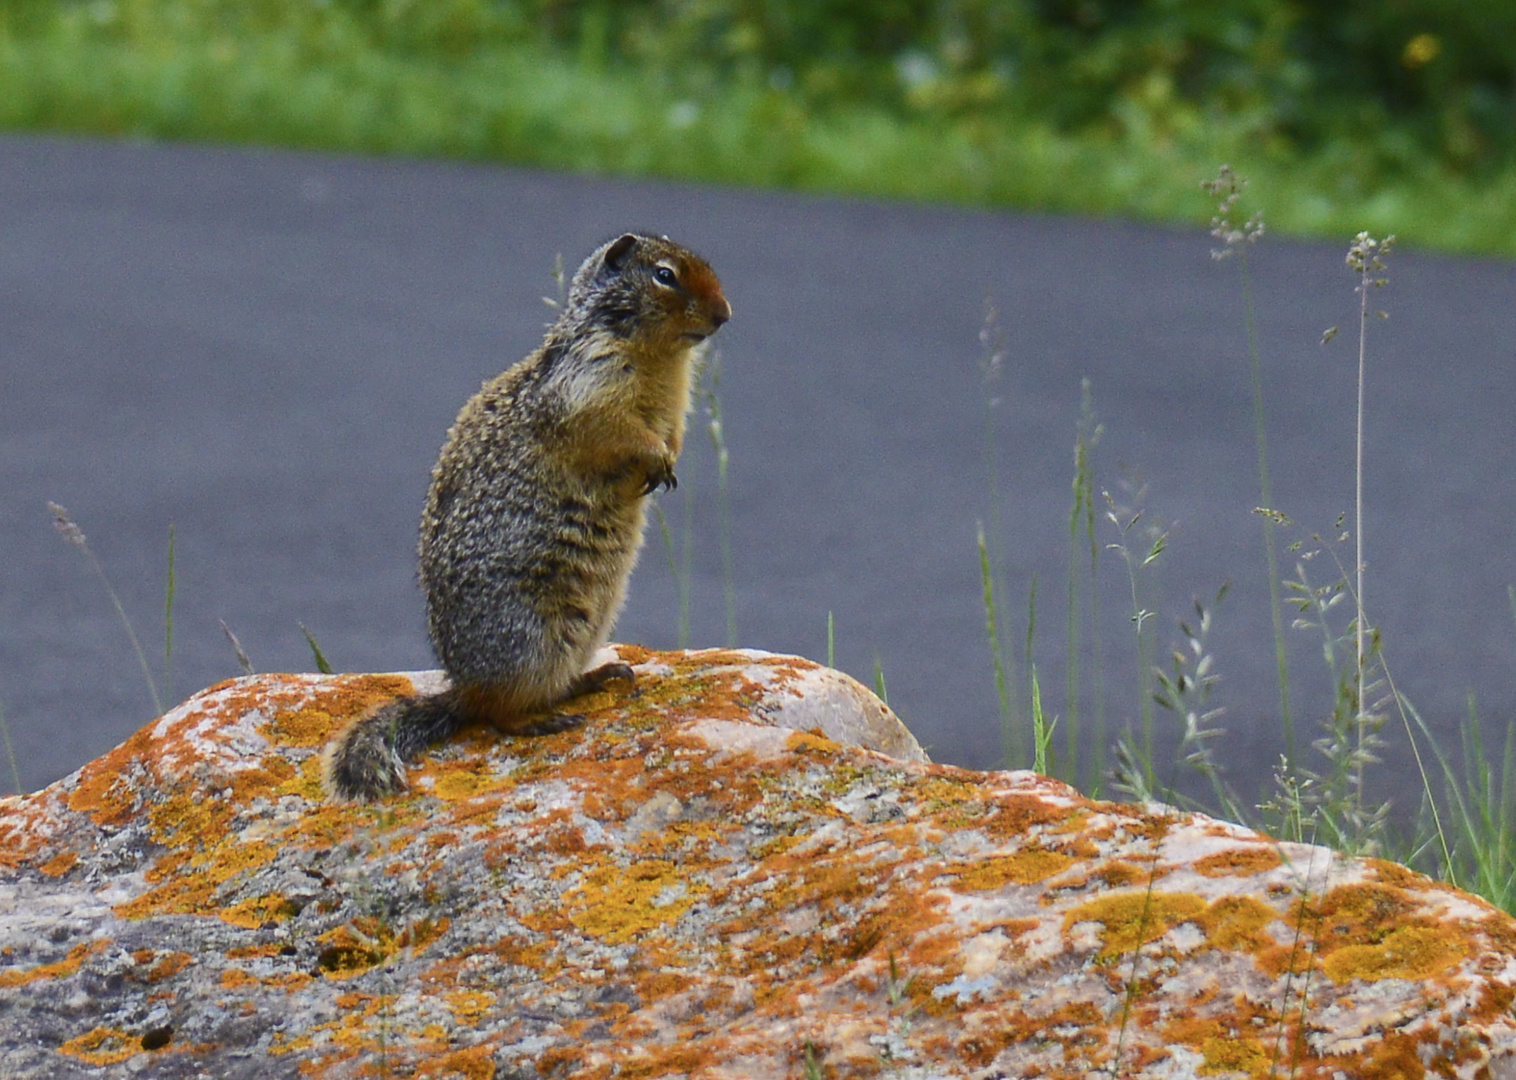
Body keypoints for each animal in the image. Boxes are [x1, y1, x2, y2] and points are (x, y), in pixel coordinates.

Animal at [327, 232, 733, 794]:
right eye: (665, 275)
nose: (725, 314)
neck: (660, 360)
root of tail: (463, 685)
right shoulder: (589, 385)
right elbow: (617, 430)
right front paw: (655, 460)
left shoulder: (676, 405)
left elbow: (672, 434)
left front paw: (668, 462)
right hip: (530, 636)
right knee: (498, 712)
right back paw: (543, 718)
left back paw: (600, 676)